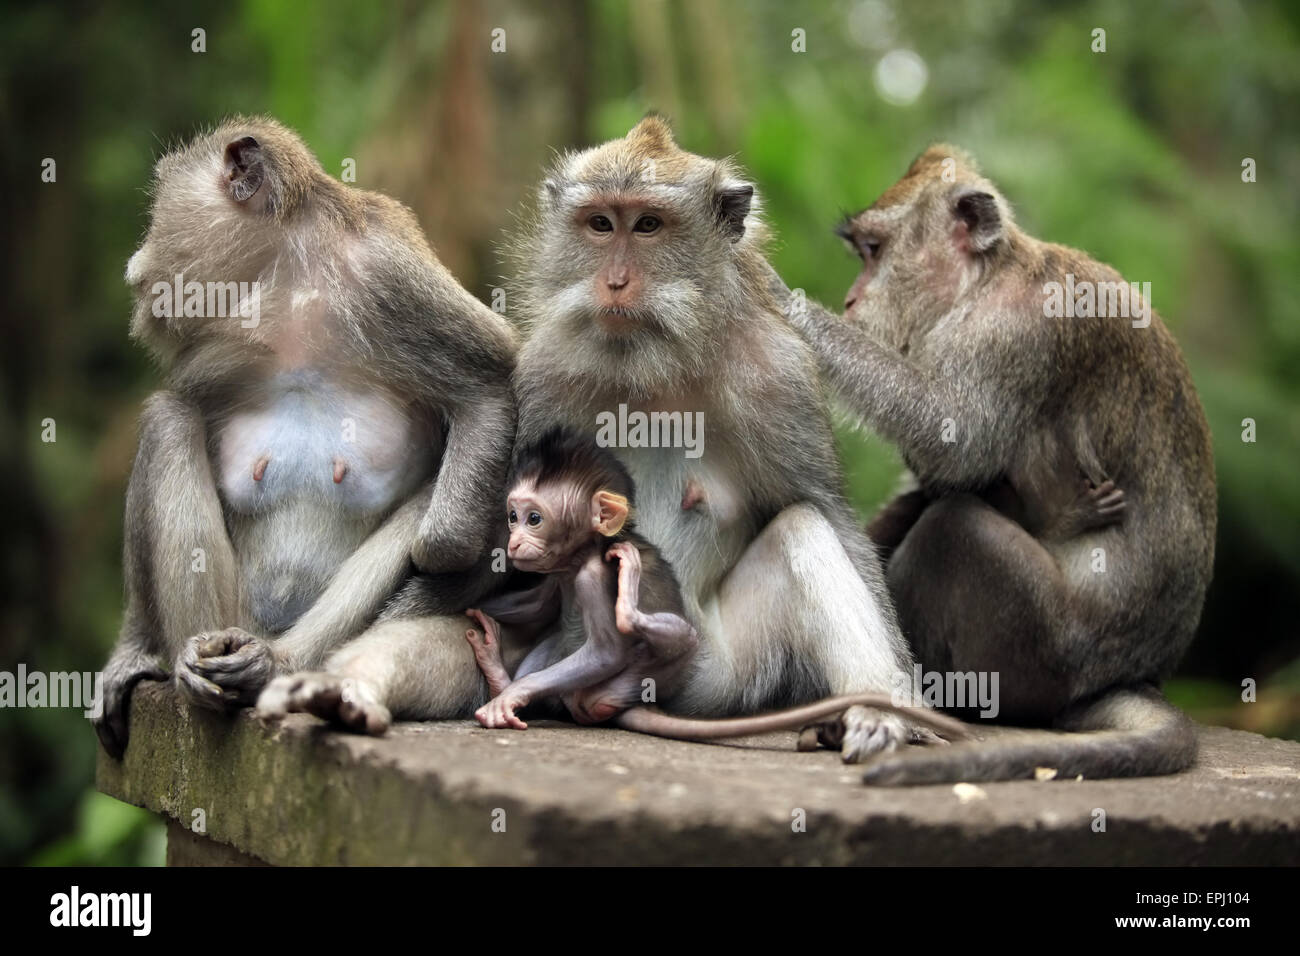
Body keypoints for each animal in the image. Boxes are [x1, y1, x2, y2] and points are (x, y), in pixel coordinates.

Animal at [95, 116, 517, 756]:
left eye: (157, 206)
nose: (135, 261)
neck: (293, 284)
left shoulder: (389, 276)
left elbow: (491, 389)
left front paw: (442, 562)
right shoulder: (215, 350)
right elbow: (179, 407)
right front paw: (134, 650)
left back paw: (275, 664)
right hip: (232, 613)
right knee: (168, 422)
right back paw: (193, 662)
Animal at [462, 428, 970, 744]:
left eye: (534, 518)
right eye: (512, 516)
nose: (514, 540)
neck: (583, 554)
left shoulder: (589, 575)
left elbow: (605, 650)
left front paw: (513, 695)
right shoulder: (560, 570)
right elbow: (539, 607)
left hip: (682, 673)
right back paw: (500, 670)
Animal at [508, 115, 932, 762]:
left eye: (648, 225)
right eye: (601, 223)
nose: (615, 281)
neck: (653, 364)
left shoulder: (778, 375)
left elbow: (827, 513)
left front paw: (896, 702)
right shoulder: (541, 376)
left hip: (714, 675)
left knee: (801, 528)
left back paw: (868, 710)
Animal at [770, 145, 1216, 784]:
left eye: (875, 251)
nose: (852, 300)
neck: (987, 279)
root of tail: (1129, 674)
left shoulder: (1011, 333)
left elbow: (956, 438)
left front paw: (784, 301)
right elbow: (943, 470)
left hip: (1045, 652)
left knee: (955, 529)